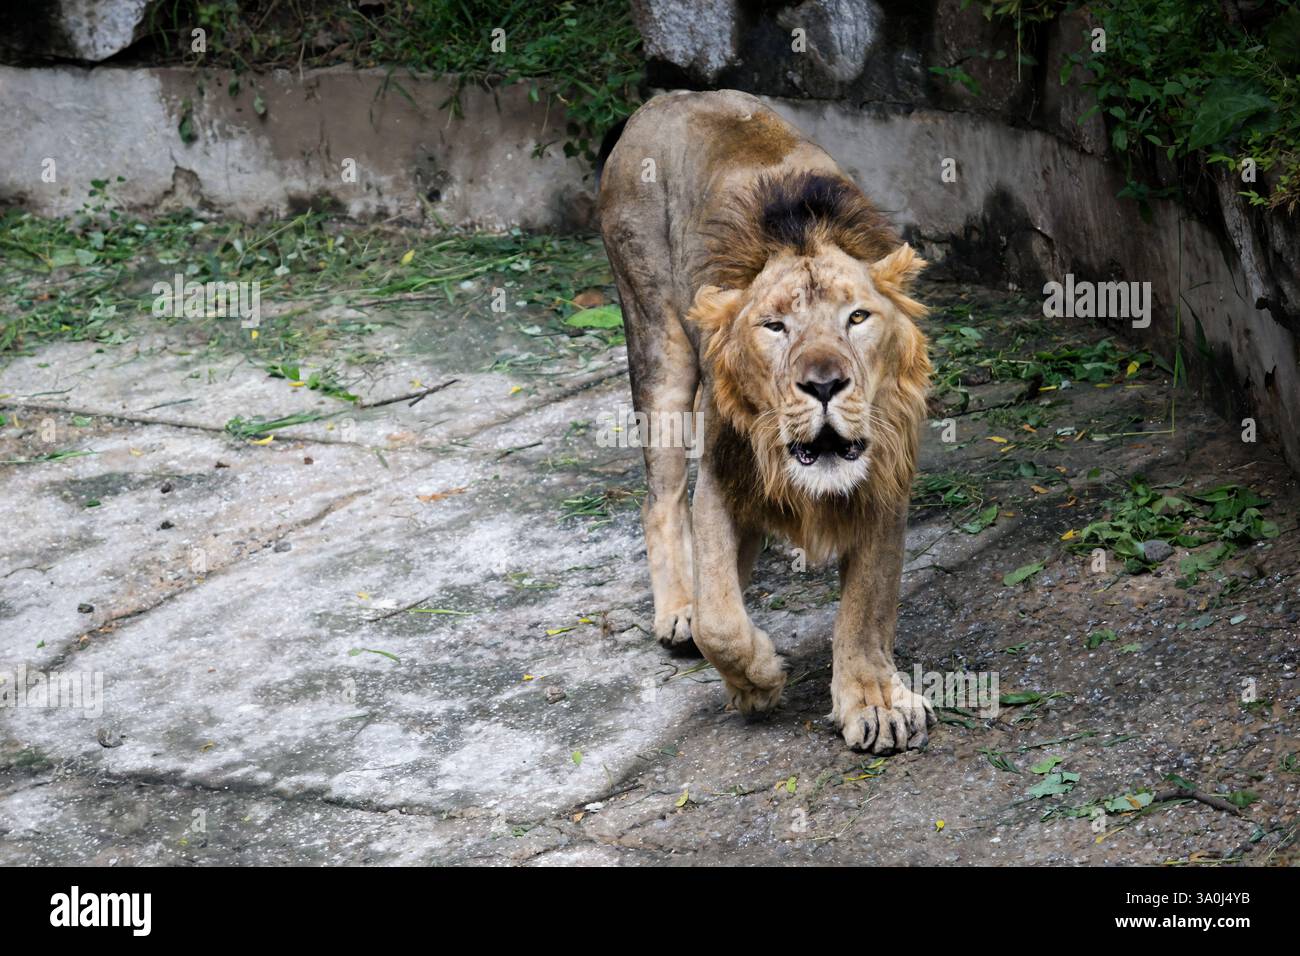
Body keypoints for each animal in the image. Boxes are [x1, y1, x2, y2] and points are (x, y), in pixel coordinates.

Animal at [597, 90, 935, 754]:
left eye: (858, 318)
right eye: (775, 326)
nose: (825, 385)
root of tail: (665, 98)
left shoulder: (886, 477)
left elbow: (866, 605)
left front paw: (874, 702)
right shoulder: (723, 477)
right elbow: (720, 621)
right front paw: (756, 680)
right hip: (657, 346)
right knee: (661, 499)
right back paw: (678, 610)